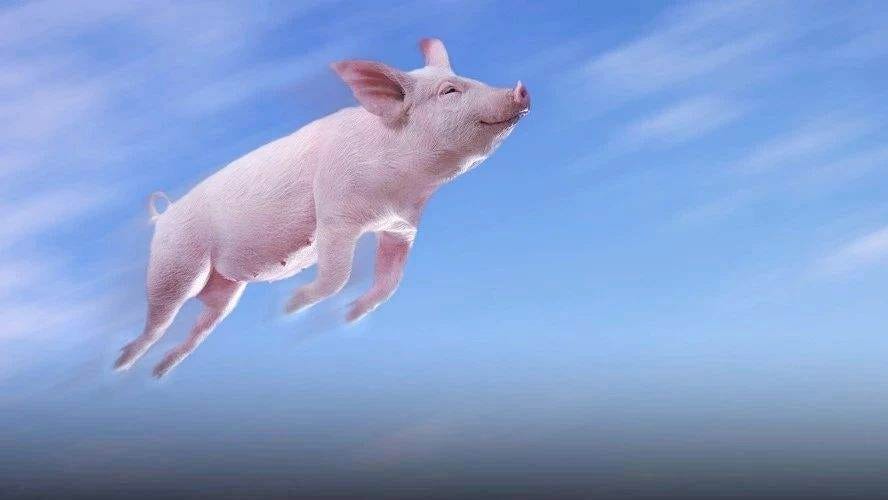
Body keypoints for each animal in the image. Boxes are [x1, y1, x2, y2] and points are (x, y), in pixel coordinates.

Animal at [114, 38, 530, 377]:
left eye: (462, 79)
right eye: (449, 90)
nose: (520, 89)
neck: (404, 188)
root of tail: (163, 215)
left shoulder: (401, 227)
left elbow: (390, 283)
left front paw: (351, 315)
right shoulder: (334, 215)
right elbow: (337, 275)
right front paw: (289, 306)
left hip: (225, 288)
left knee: (203, 323)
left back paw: (160, 371)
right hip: (175, 267)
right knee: (160, 319)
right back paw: (122, 363)